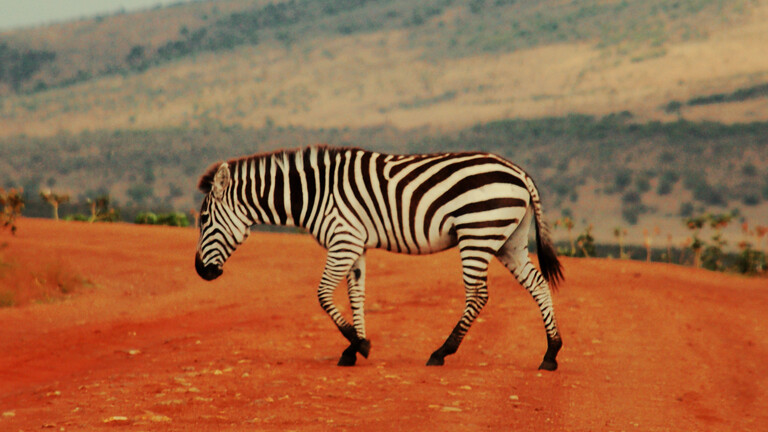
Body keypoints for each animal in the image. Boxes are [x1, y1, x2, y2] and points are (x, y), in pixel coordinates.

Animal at [194, 146, 564, 370]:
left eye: (203, 219)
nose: (200, 272)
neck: (314, 194)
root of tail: (519, 172)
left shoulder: (343, 240)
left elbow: (323, 295)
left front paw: (360, 344)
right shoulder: (355, 245)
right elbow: (356, 295)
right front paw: (354, 347)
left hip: (478, 232)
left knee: (478, 295)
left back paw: (441, 352)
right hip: (508, 241)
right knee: (537, 285)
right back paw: (551, 353)